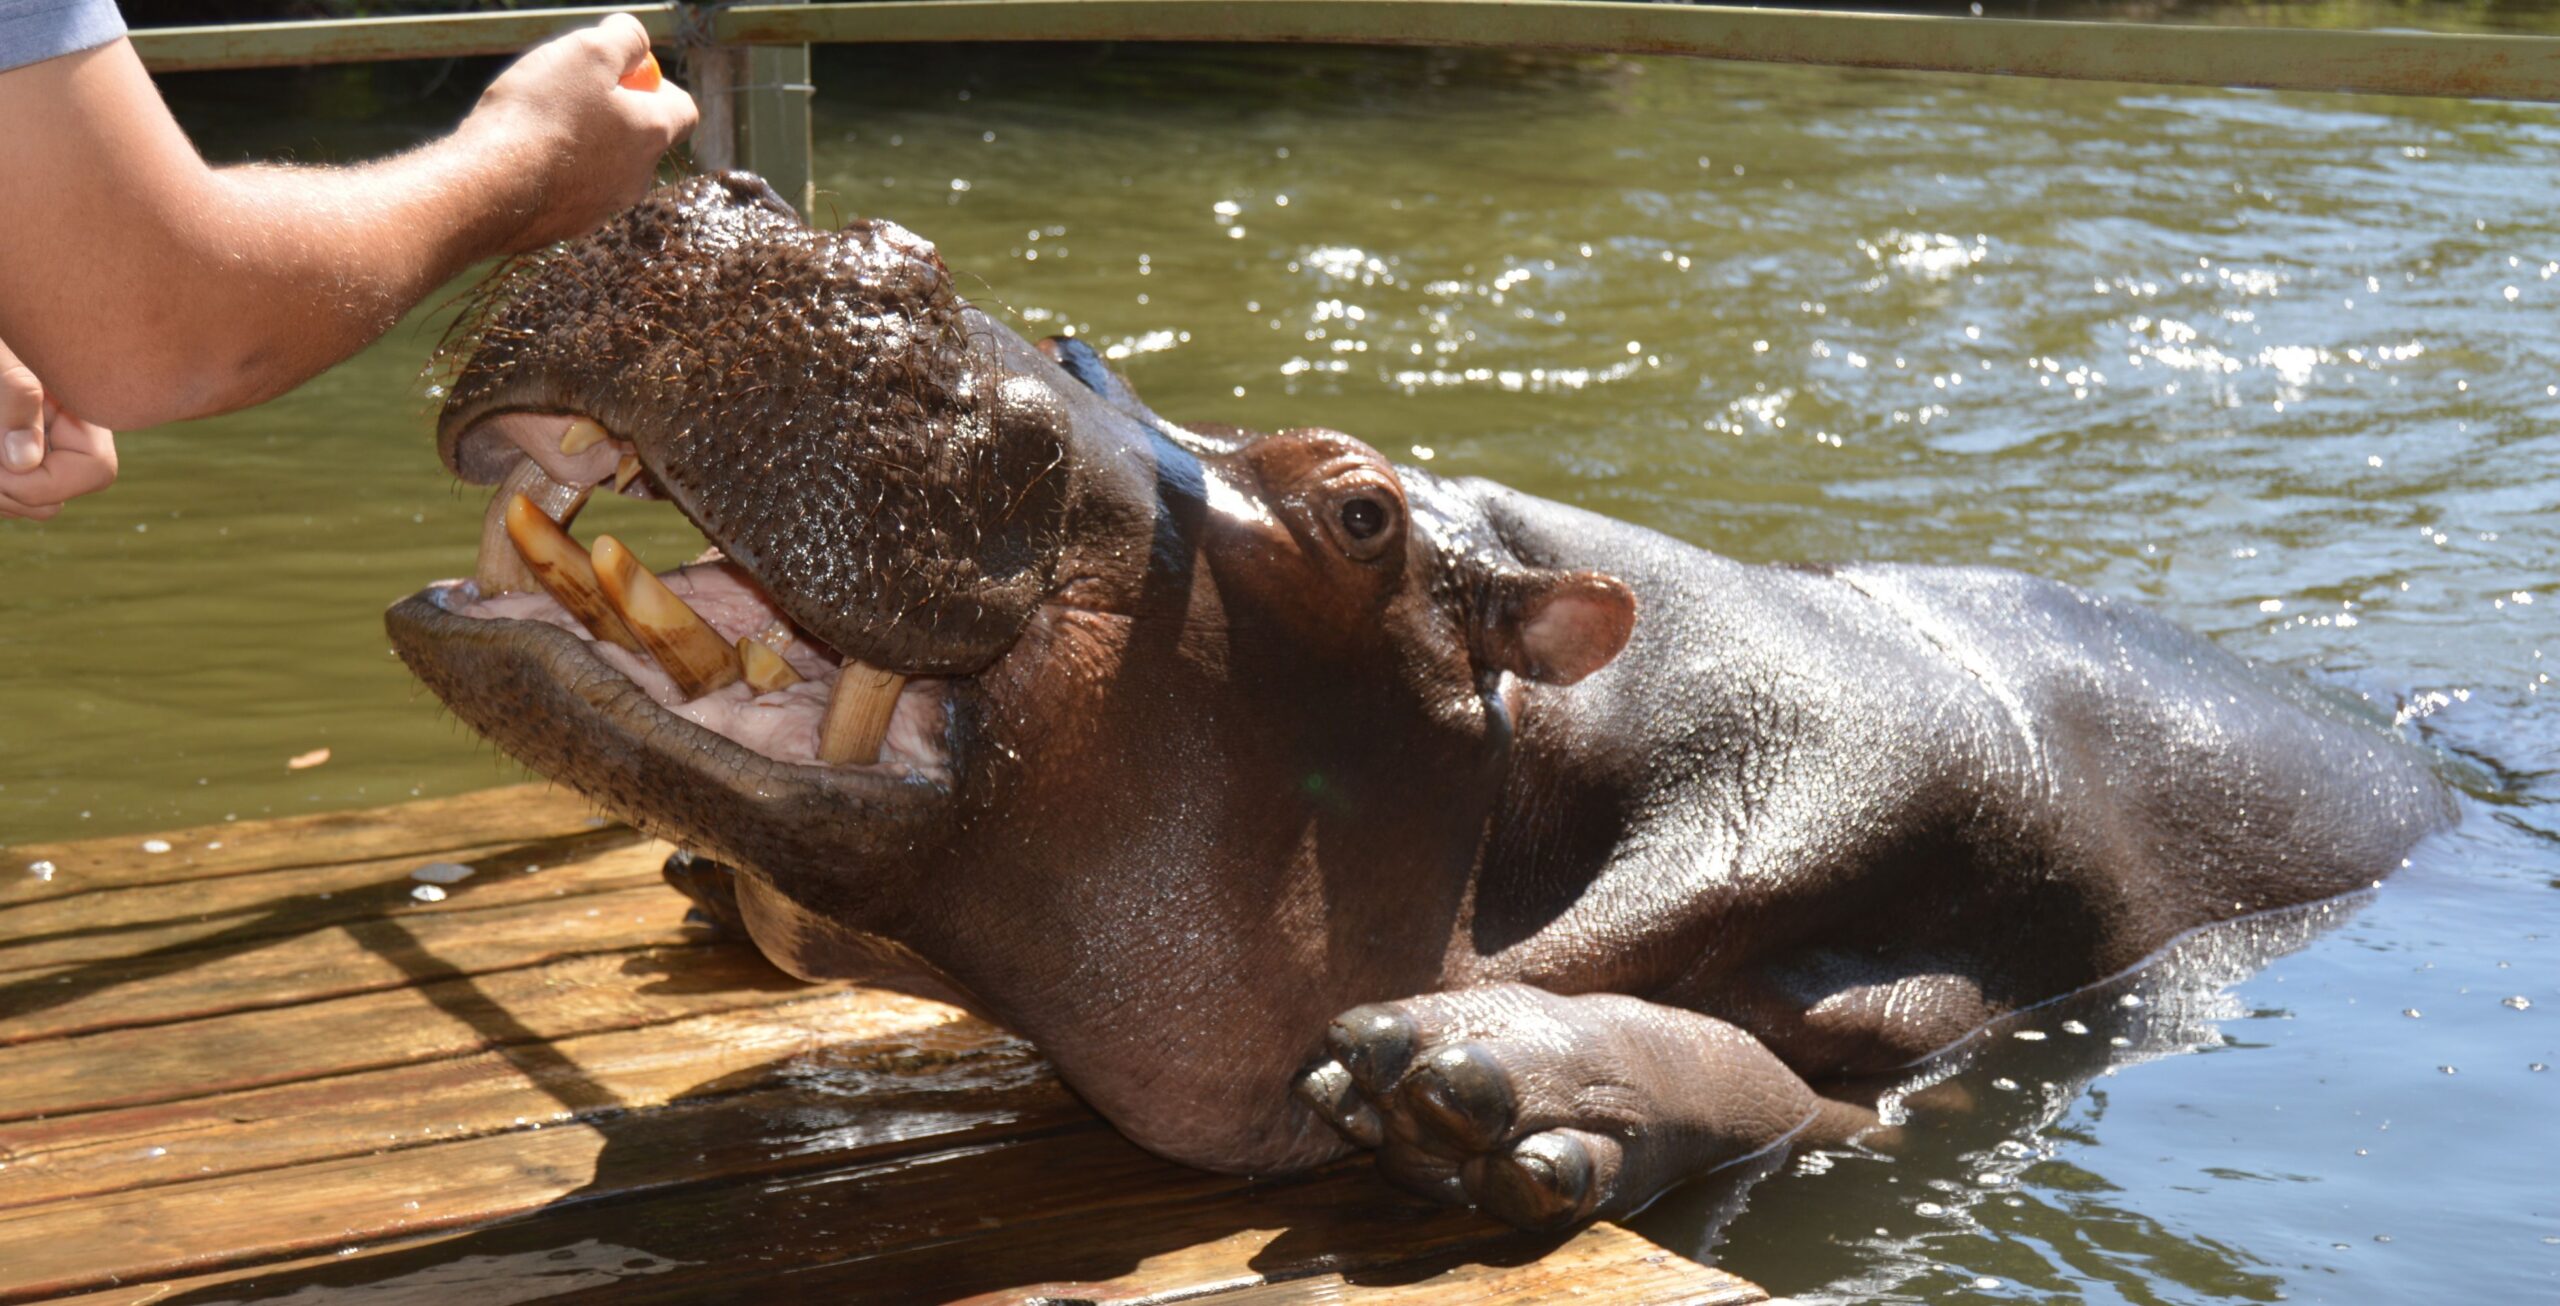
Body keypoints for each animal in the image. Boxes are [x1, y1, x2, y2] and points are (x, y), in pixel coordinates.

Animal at [388, 174, 2454, 1232]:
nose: (754, 204)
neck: (1540, 760)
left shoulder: (1938, 956)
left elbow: (1819, 1096)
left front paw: (1480, 1096)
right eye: (1075, 343)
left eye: (1361, 510)